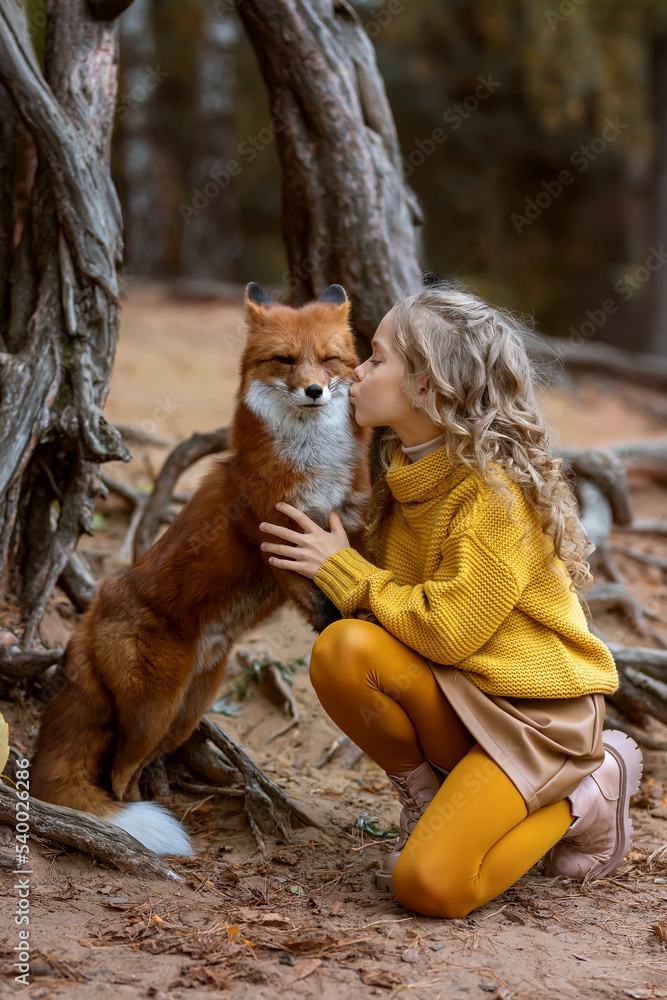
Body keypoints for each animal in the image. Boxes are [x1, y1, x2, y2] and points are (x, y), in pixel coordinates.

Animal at [31, 282, 372, 857]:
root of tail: (90, 614)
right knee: (117, 775)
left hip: (184, 715)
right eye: (285, 360)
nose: (313, 391)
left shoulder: (349, 524)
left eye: (328, 360)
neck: (313, 466)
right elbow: (324, 608)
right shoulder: (280, 541)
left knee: (135, 767)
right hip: (154, 711)